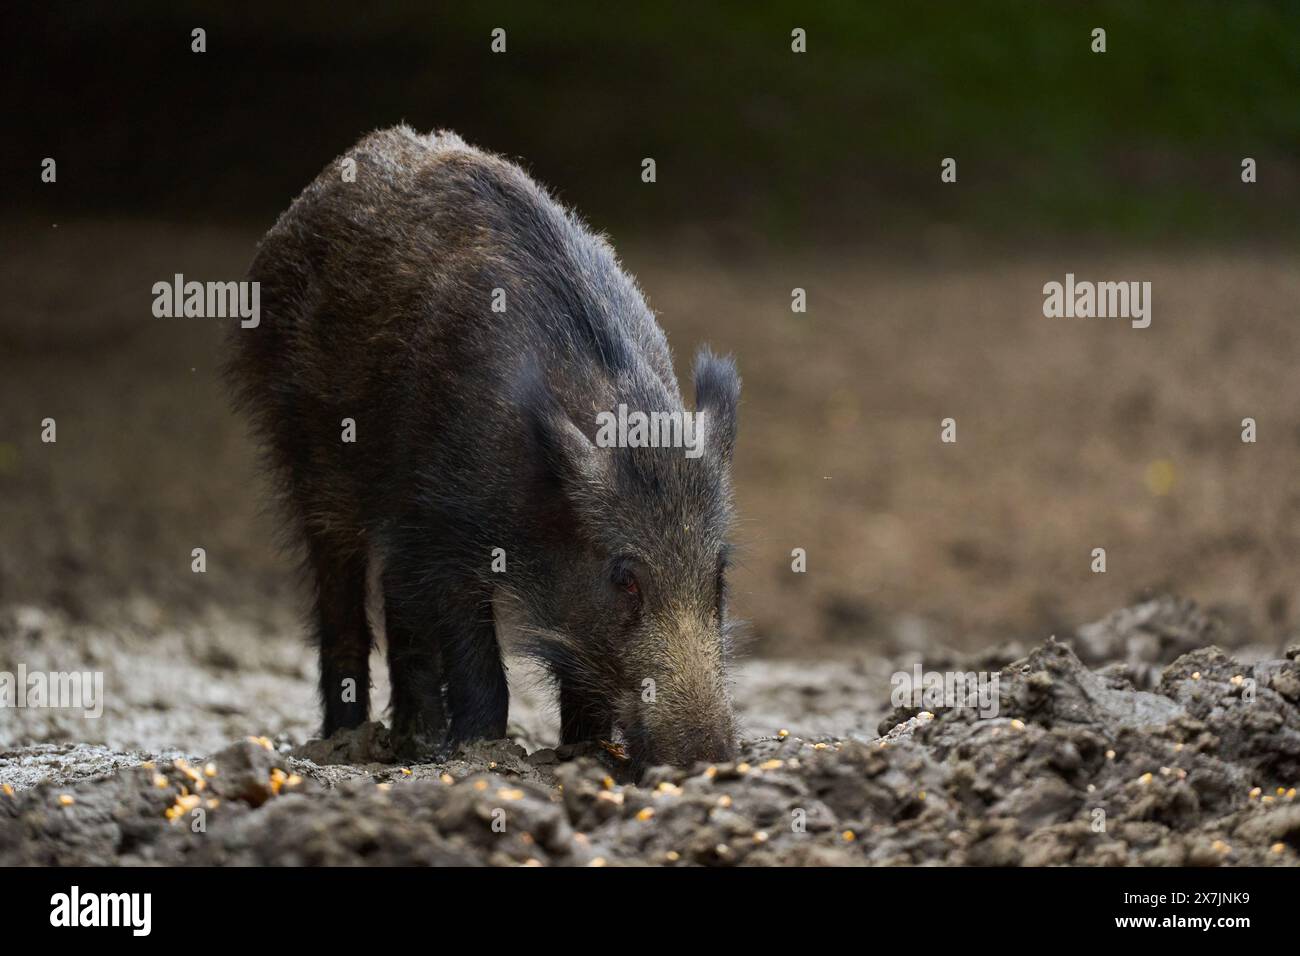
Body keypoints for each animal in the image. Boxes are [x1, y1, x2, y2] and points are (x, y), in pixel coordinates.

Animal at [224, 126, 741, 772]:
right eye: (625, 578)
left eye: (718, 578)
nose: (711, 757)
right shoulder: (448, 520)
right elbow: (474, 650)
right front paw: (483, 749)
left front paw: (579, 749)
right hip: (309, 452)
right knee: (340, 584)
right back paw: (352, 740)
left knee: (396, 594)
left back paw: (413, 739)